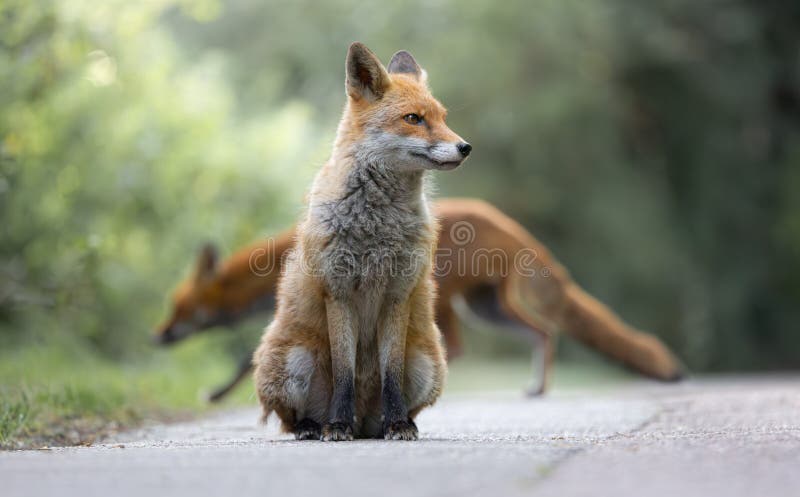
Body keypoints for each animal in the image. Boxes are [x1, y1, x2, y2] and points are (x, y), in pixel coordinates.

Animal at [156, 198, 684, 402]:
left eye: (181, 310)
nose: (156, 335)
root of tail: (513, 228)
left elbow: (249, 357)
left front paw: (218, 393)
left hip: (442, 298)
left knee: (461, 346)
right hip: (489, 309)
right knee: (545, 332)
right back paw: (537, 386)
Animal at [250, 43, 471, 441]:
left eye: (443, 117)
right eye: (414, 119)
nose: (465, 147)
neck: (376, 226)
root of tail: (366, 421)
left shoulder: (397, 294)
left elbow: (391, 375)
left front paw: (398, 424)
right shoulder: (338, 293)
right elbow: (345, 374)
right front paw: (338, 425)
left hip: (427, 363)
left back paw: (394, 422)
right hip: (293, 359)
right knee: (288, 419)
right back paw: (315, 425)